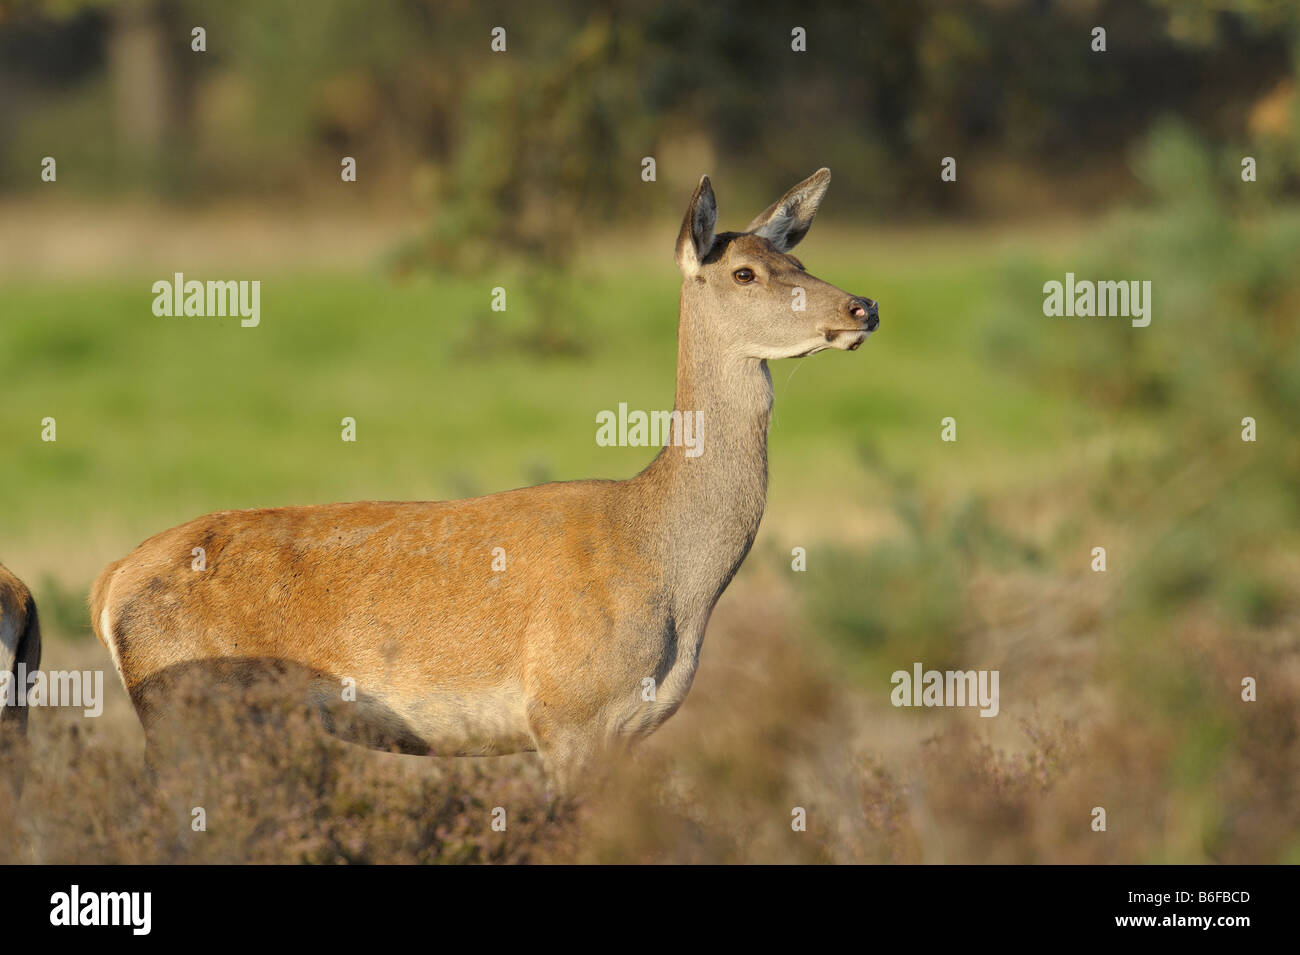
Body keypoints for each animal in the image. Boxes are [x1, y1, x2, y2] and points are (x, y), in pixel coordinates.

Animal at [90, 168, 879, 791]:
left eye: (797, 256)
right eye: (744, 272)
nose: (862, 306)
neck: (670, 566)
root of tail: (110, 582)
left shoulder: (626, 730)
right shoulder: (565, 710)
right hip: (186, 704)